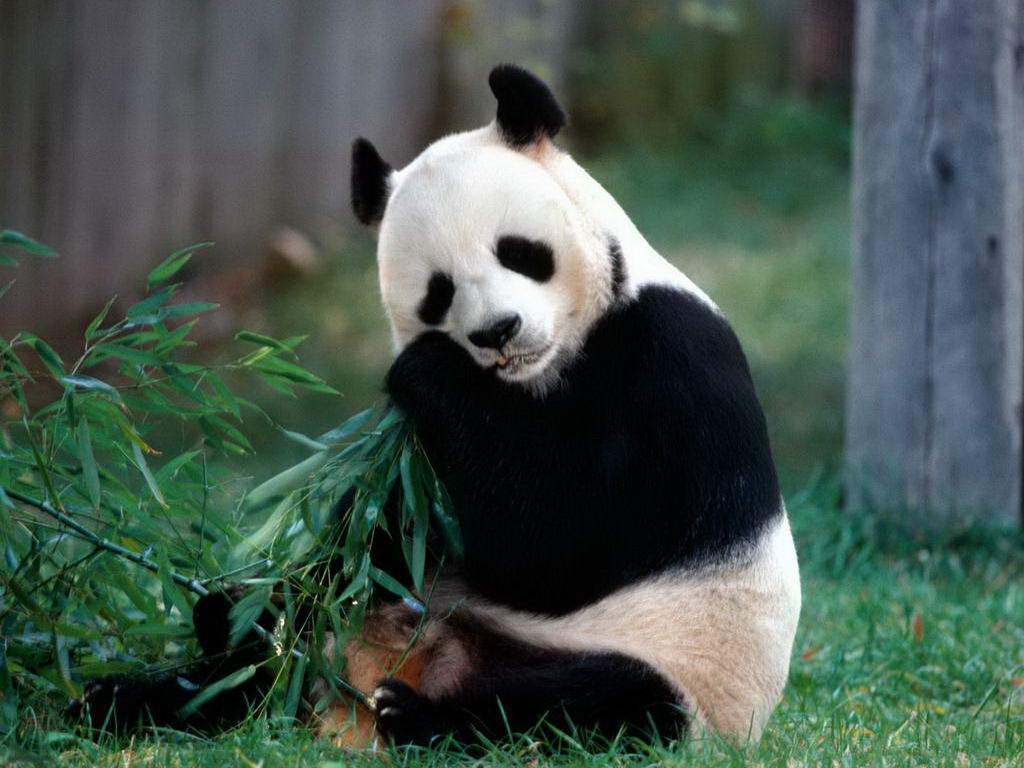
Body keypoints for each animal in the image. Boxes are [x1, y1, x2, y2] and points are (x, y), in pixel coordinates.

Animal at [73, 65, 800, 748]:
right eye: (438, 292)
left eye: (519, 252)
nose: (498, 332)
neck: (539, 374)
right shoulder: (424, 463)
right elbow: (385, 527)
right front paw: (240, 608)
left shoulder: (668, 367)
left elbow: (557, 545)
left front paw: (425, 368)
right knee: (273, 657)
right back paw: (155, 679)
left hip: (683, 672)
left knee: (592, 705)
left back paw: (418, 715)